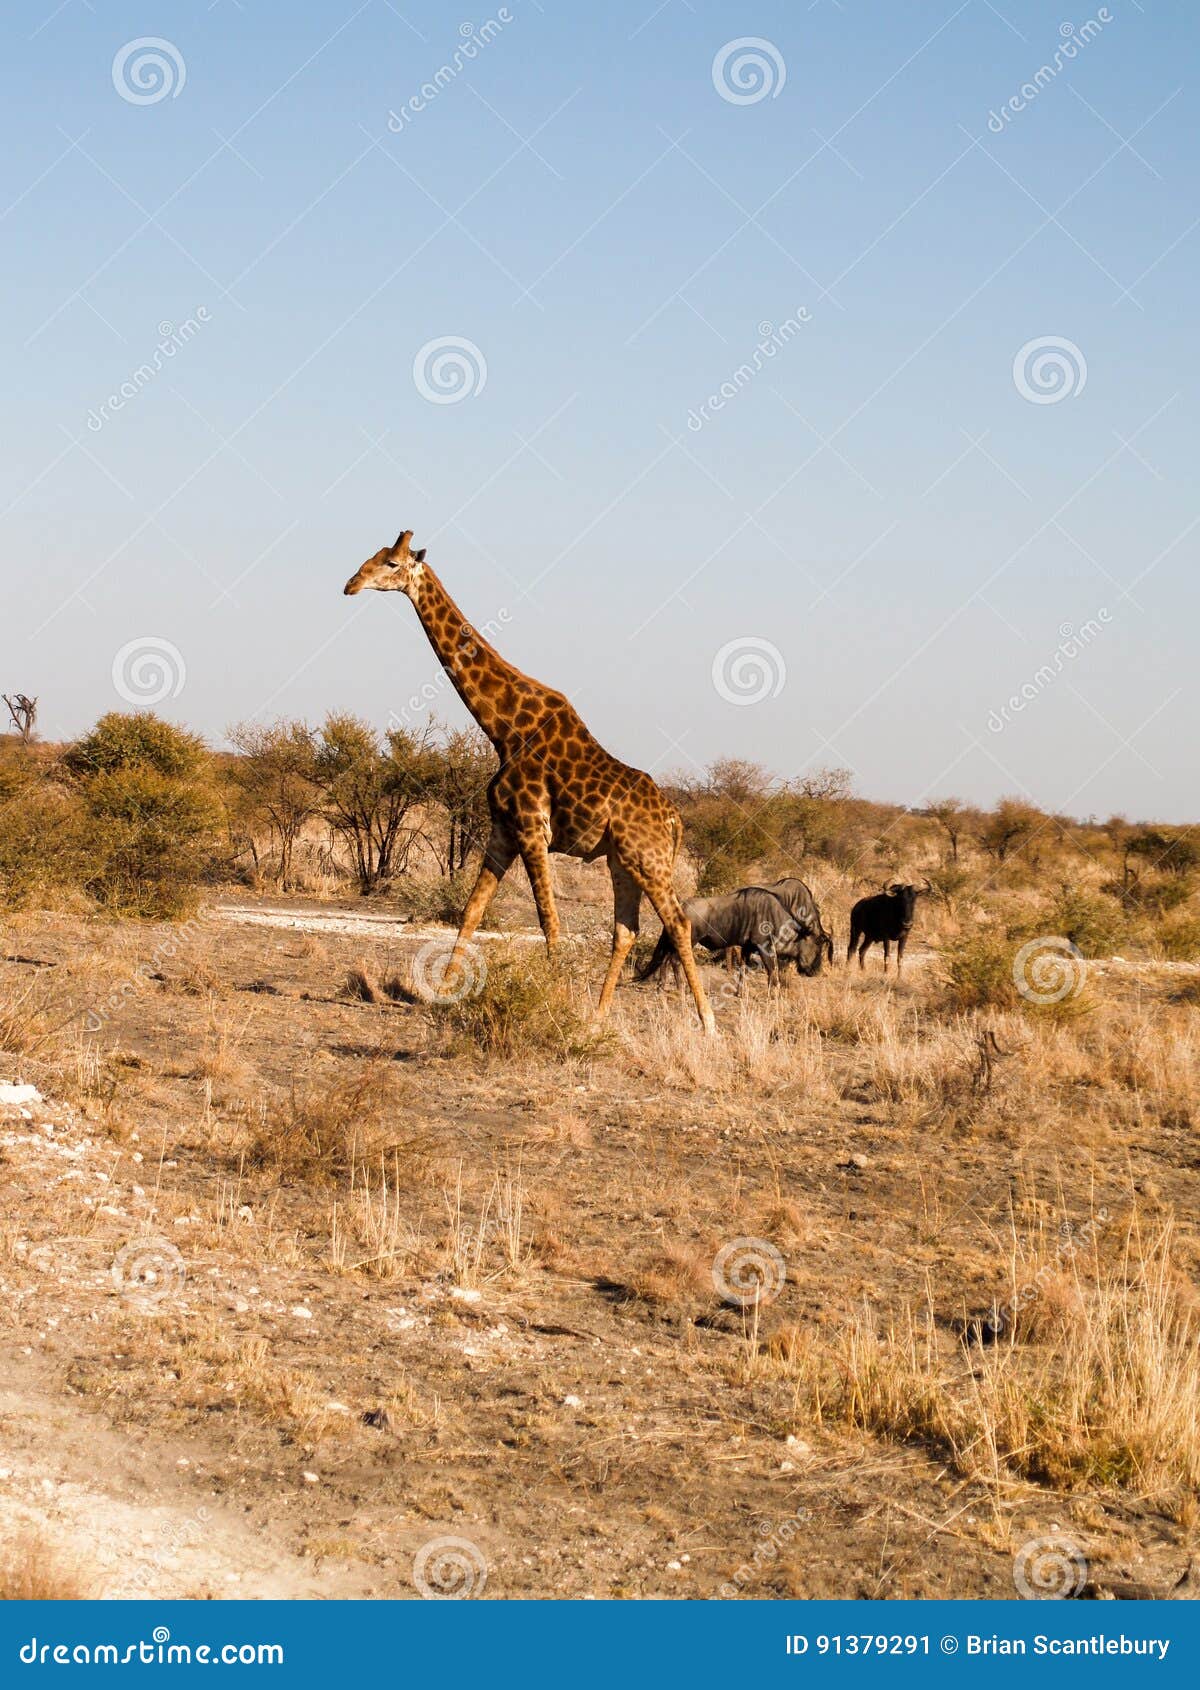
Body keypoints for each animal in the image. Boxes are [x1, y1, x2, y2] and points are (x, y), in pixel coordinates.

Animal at [344, 531, 715, 1031]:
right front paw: (442, 994)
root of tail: (675, 822)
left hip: (649, 860)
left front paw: (555, 1002)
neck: (503, 730)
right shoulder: (503, 830)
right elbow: (472, 910)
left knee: (677, 923)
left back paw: (707, 1022)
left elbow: (548, 919)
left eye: (392, 563)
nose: (351, 584)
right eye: (375, 557)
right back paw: (598, 1015)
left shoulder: (532, 828)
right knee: (626, 929)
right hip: (622, 862)